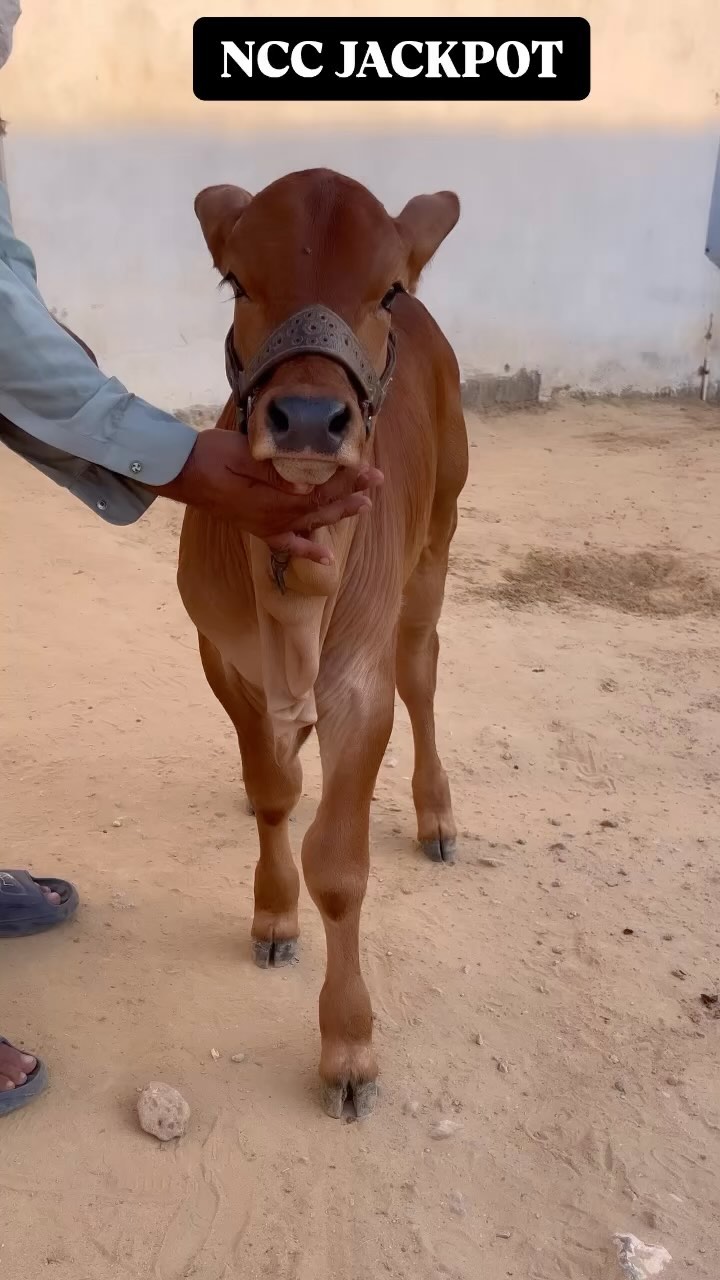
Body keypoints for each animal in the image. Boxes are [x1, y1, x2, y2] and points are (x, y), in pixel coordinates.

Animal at [177, 168, 468, 1119]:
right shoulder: (220, 654)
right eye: (236, 279)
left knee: (424, 674)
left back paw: (437, 812)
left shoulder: (360, 686)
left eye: (387, 289)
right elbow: (274, 795)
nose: (308, 417)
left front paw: (348, 1046)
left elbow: (339, 867)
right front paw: (272, 913)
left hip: (436, 544)